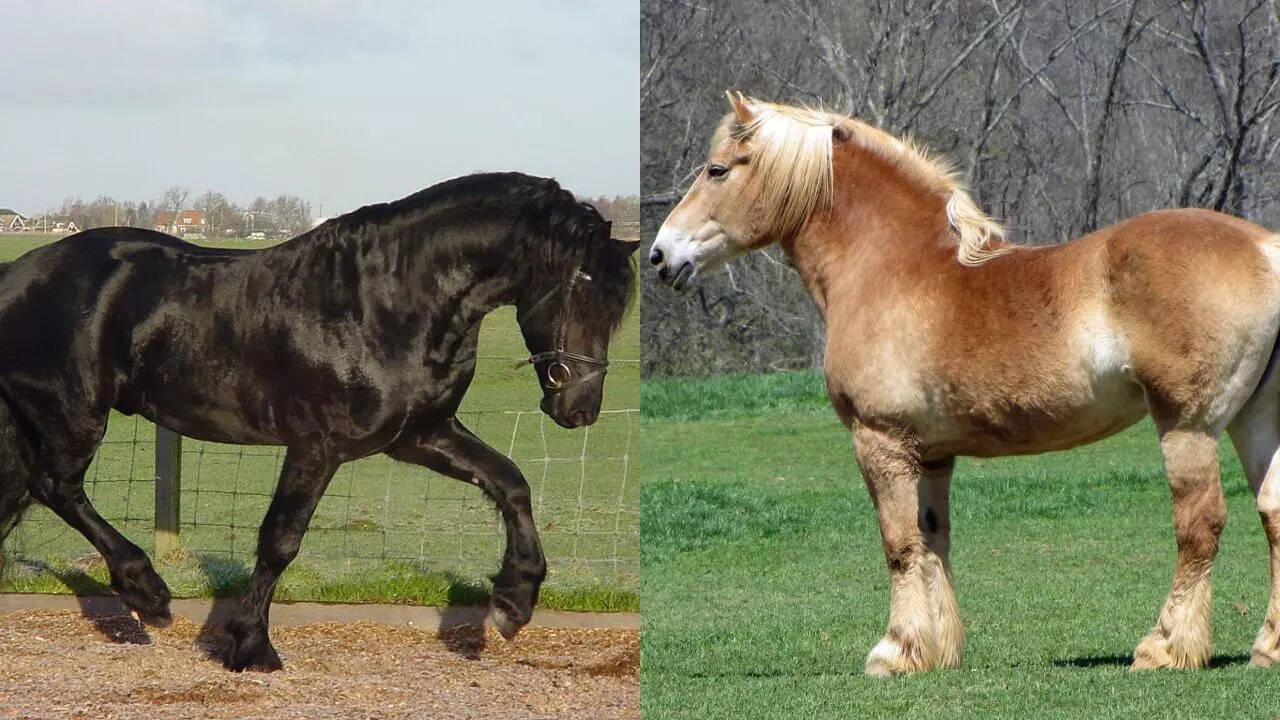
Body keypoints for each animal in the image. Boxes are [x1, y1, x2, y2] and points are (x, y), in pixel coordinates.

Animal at [0, 172, 637, 671]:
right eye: (582, 291)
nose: (579, 409)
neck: (384, 303)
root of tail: (16, 275)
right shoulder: (317, 445)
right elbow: (280, 540)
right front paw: (251, 646)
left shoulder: (420, 436)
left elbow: (510, 483)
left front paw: (514, 599)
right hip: (74, 414)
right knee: (57, 487)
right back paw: (148, 593)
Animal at [649, 92, 1280, 675]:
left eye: (717, 170)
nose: (660, 255)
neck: (894, 265)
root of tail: (1264, 247)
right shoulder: (929, 454)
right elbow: (932, 541)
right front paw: (936, 651)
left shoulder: (879, 442)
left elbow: (899, 545)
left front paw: (894, 650)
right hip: (1254, 420)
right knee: (1272, 514)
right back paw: (1267, 649)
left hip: (1188, 425)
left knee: (1199, 526)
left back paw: (1165, 648)